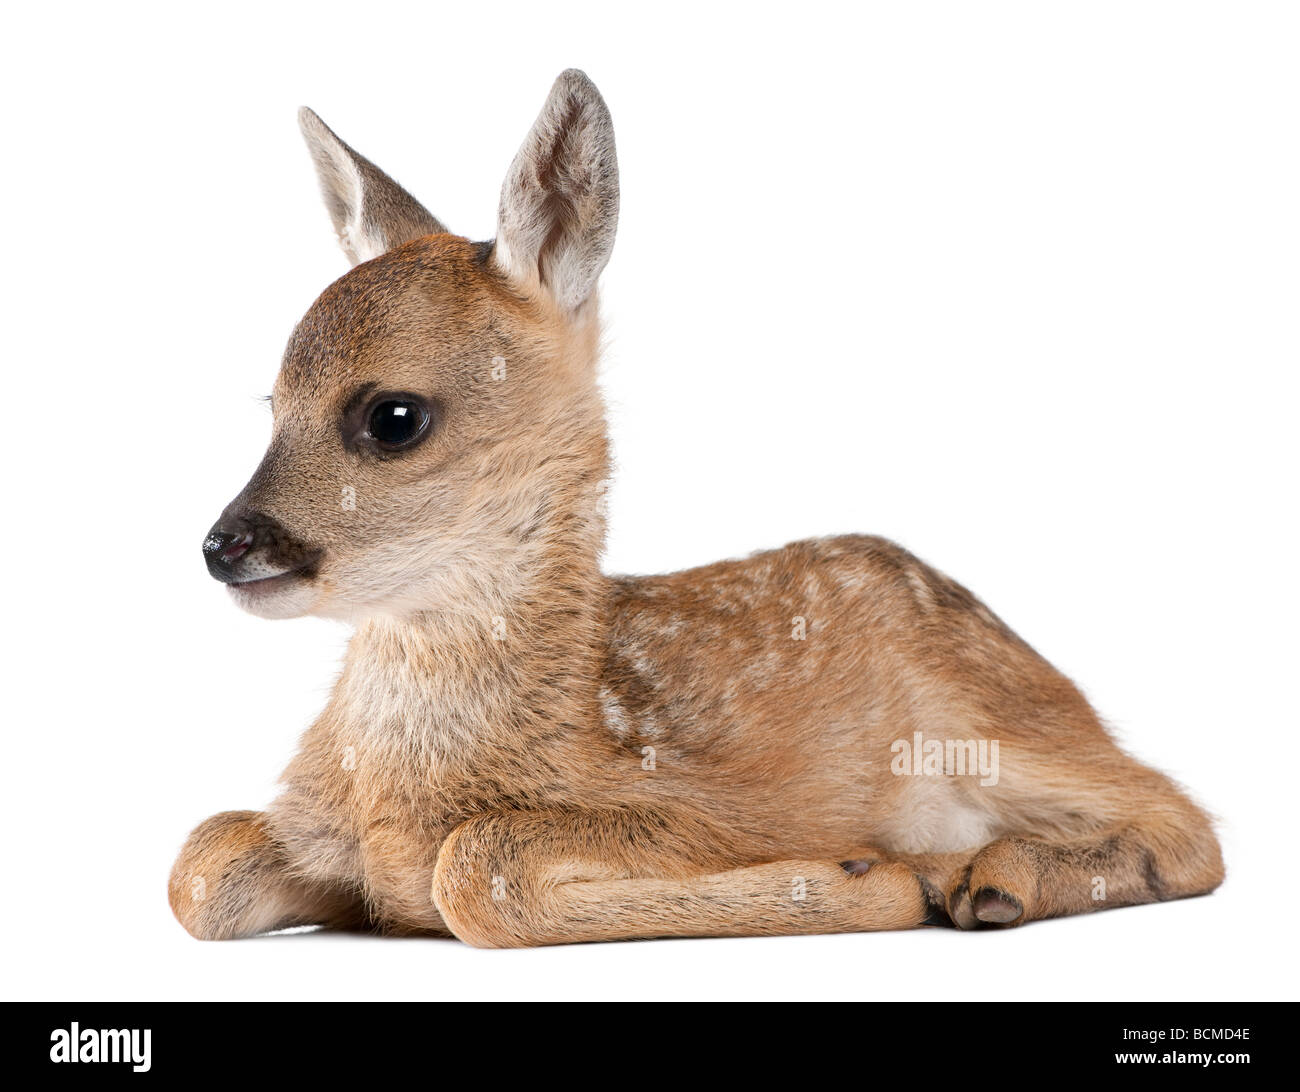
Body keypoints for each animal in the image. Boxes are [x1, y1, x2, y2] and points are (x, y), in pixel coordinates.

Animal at [169, 69, 1224, 946]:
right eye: (274, 403)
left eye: (393, 417)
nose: (225, 545)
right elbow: (199, 863)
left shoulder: (699, 806)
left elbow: (475, 868)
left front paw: (868, 876)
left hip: (995, 722)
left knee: (1188, 824)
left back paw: (988, 878)